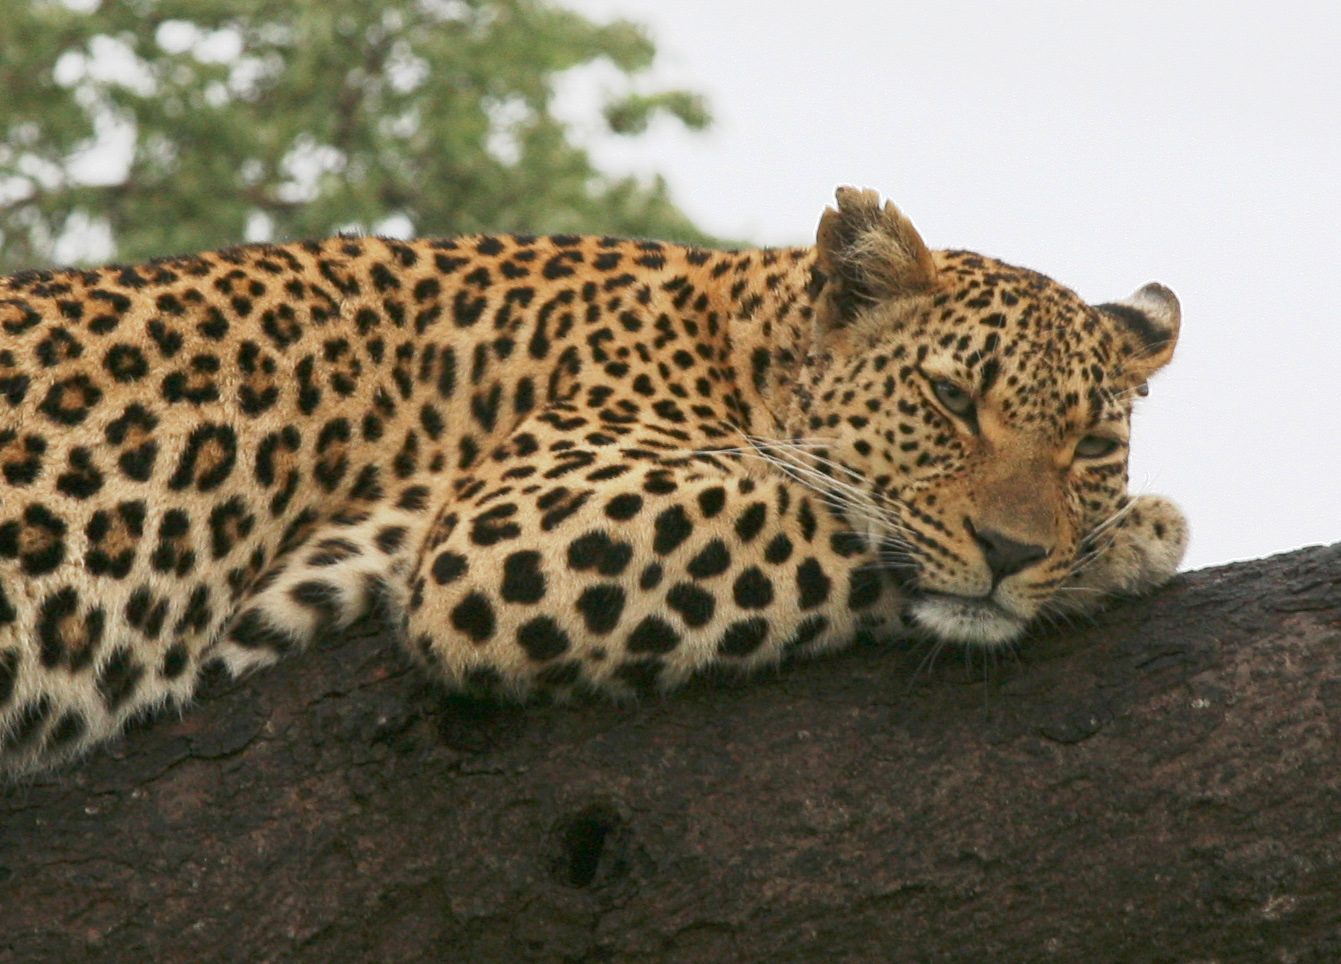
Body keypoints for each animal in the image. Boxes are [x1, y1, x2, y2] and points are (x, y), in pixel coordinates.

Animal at [0, 187, 1187, 774]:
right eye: (949, 398)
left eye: (1089, 446)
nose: (1016, 552)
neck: (737, 338)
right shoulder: (521, 517)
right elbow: (821, 512)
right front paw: (1136, 537)